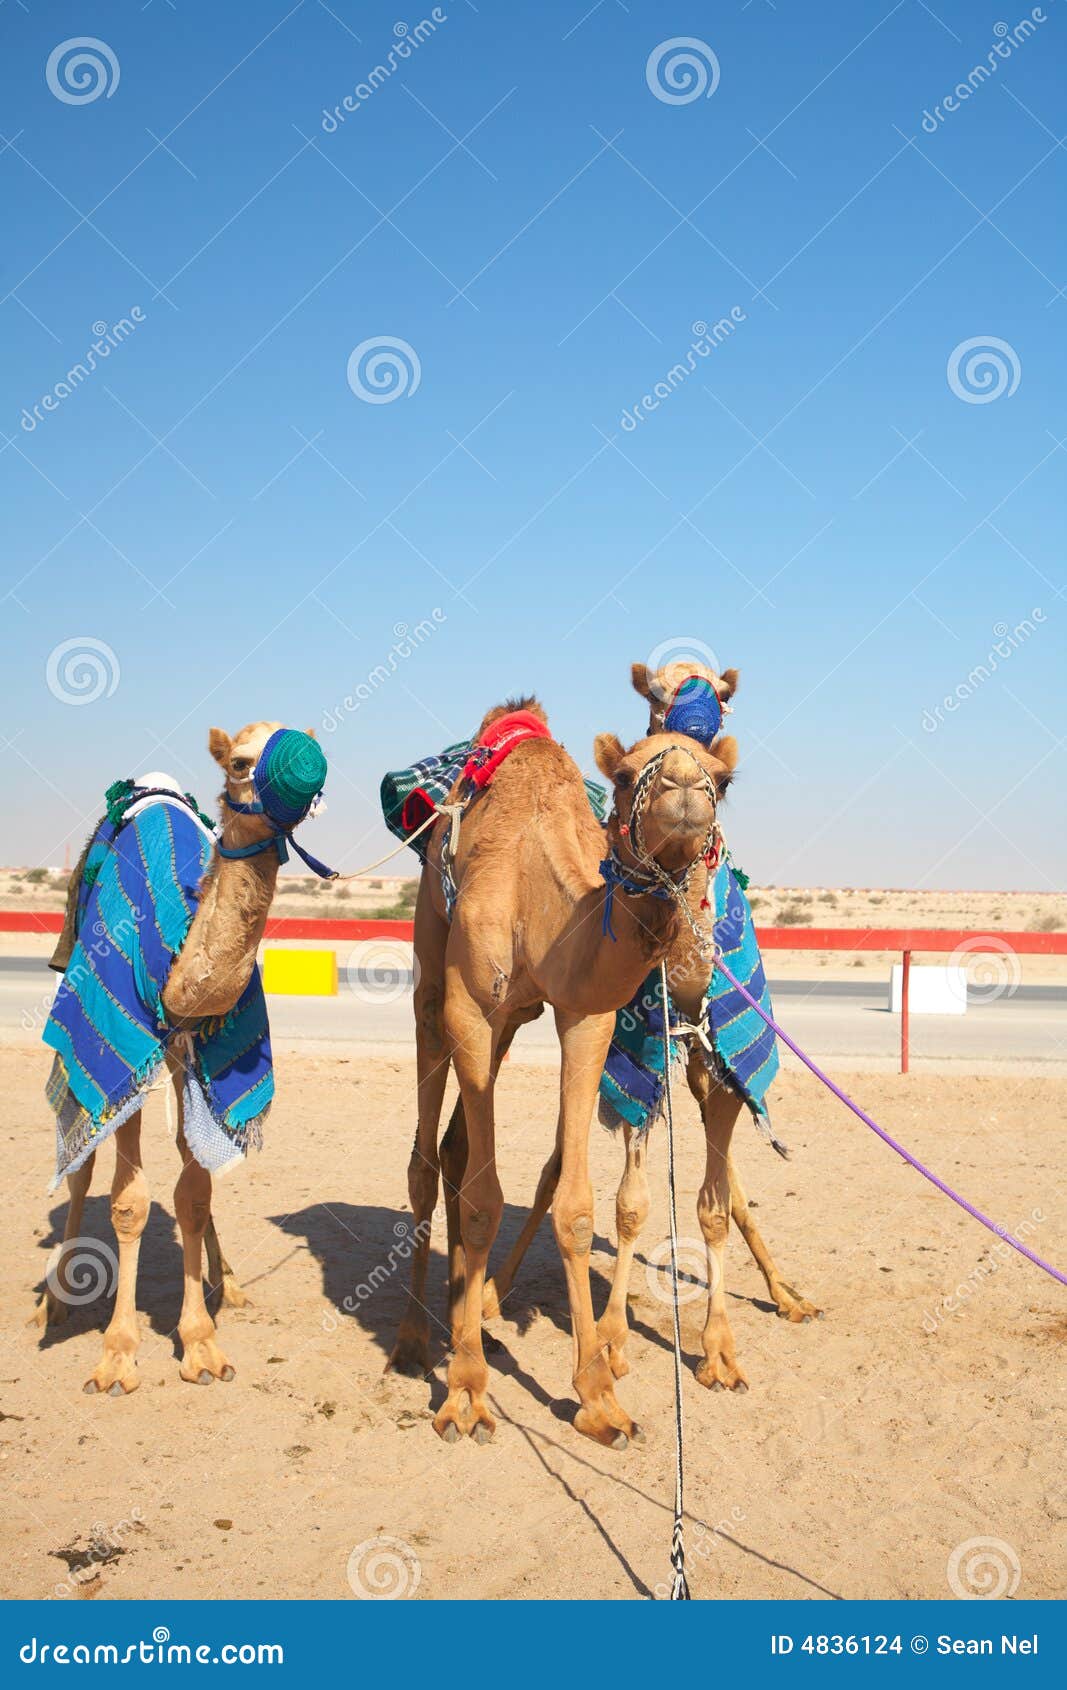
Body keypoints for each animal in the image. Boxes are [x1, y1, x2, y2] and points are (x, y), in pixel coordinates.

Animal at [36, 721, 300, 1396]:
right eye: (240, 762)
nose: (299, 779)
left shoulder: (197, 1047)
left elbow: (195, 1191)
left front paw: (201, 1341)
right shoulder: (129, 1053)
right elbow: (129, 1202)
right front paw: (117, 1355)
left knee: (189, 1161)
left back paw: (226, 1283)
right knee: (81, 1168)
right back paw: (54, 1301)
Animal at [387, 696, 734, 1447]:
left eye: (723, 779)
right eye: (629, 771)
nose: (684, 789)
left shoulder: (584, 1014)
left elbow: (573, 1207)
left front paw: (599, 1399)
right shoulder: (470, 1009)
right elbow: (483, 1201)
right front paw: (464, 1394)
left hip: (514, 1018)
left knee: (455, 1150)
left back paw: (463, 1315)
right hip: (433, 979)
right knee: (426, 1159)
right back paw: (412, 1342)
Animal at [478, 660, 821, 1392]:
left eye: (722, 776)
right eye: (628, 768)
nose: (685, 782)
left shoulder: (716, 1065)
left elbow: (715, 1206)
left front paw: (719, 1349)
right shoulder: (634, 1055)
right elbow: (630, 1204)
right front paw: (609, 1340)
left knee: (730, 1188)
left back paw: (788, 1295)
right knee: (557, 1164)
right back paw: (493, 1293)